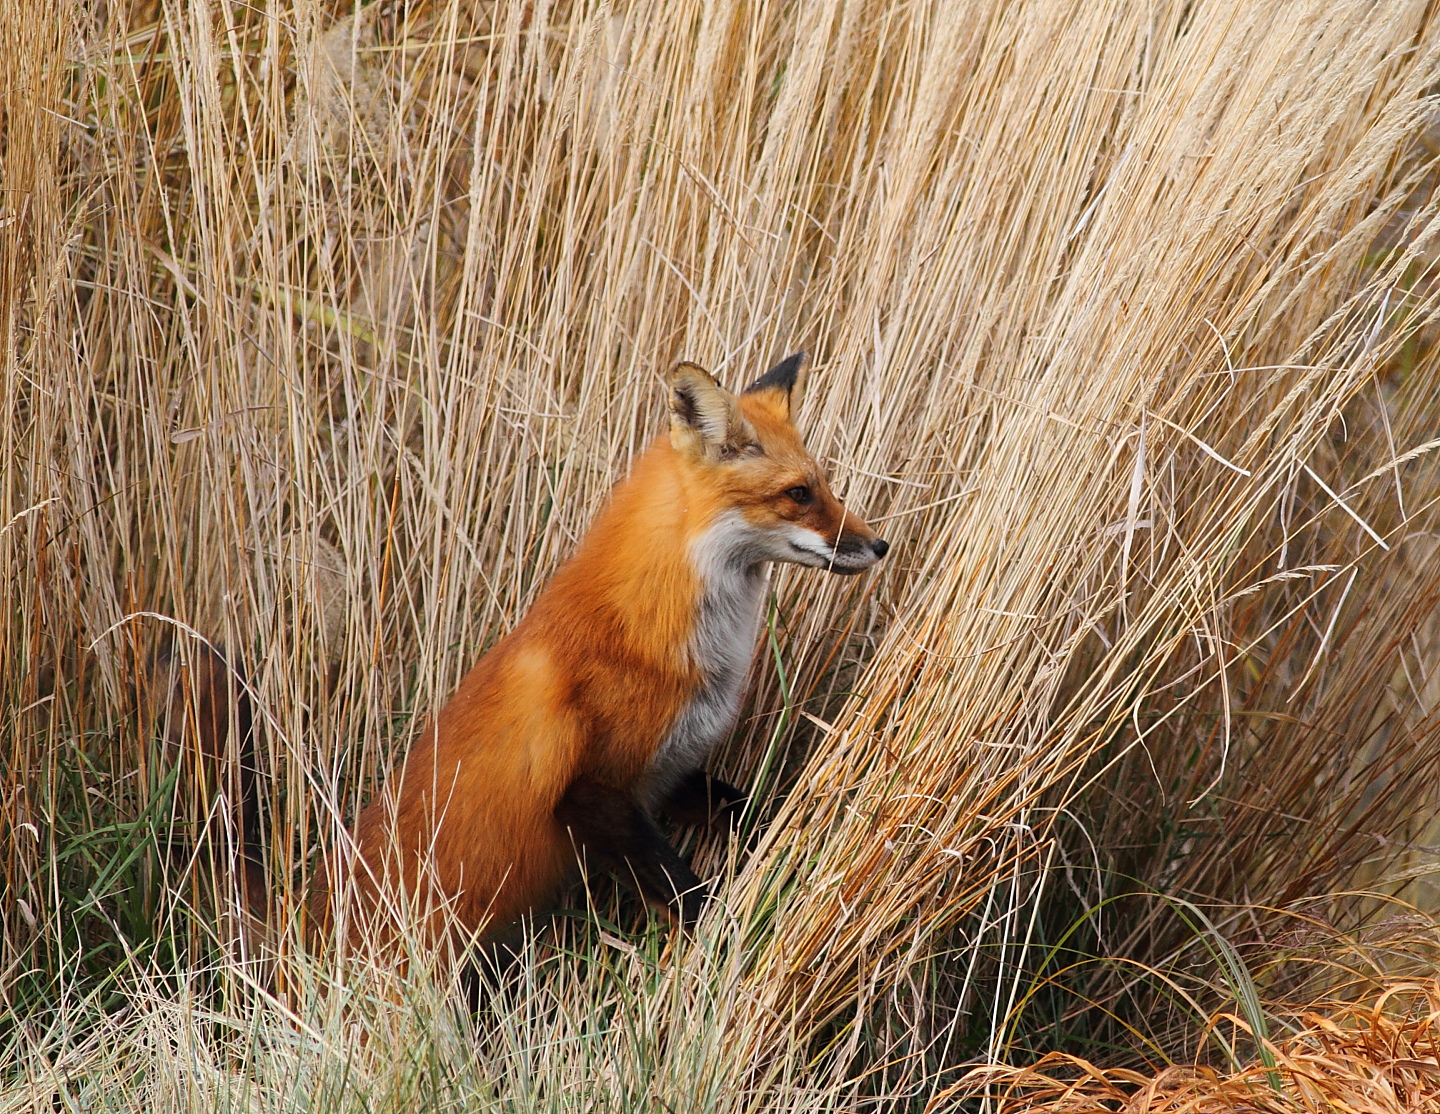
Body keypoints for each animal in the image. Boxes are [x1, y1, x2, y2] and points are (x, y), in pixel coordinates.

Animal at [154, 353, 887, 953]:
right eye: (798, 494)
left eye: (826, 486)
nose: (879, 546)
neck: (664, 634)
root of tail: (301, 918)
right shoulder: (594, 790)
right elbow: (690, 897)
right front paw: (732, 941)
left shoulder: (668, 771)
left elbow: (754, 814)